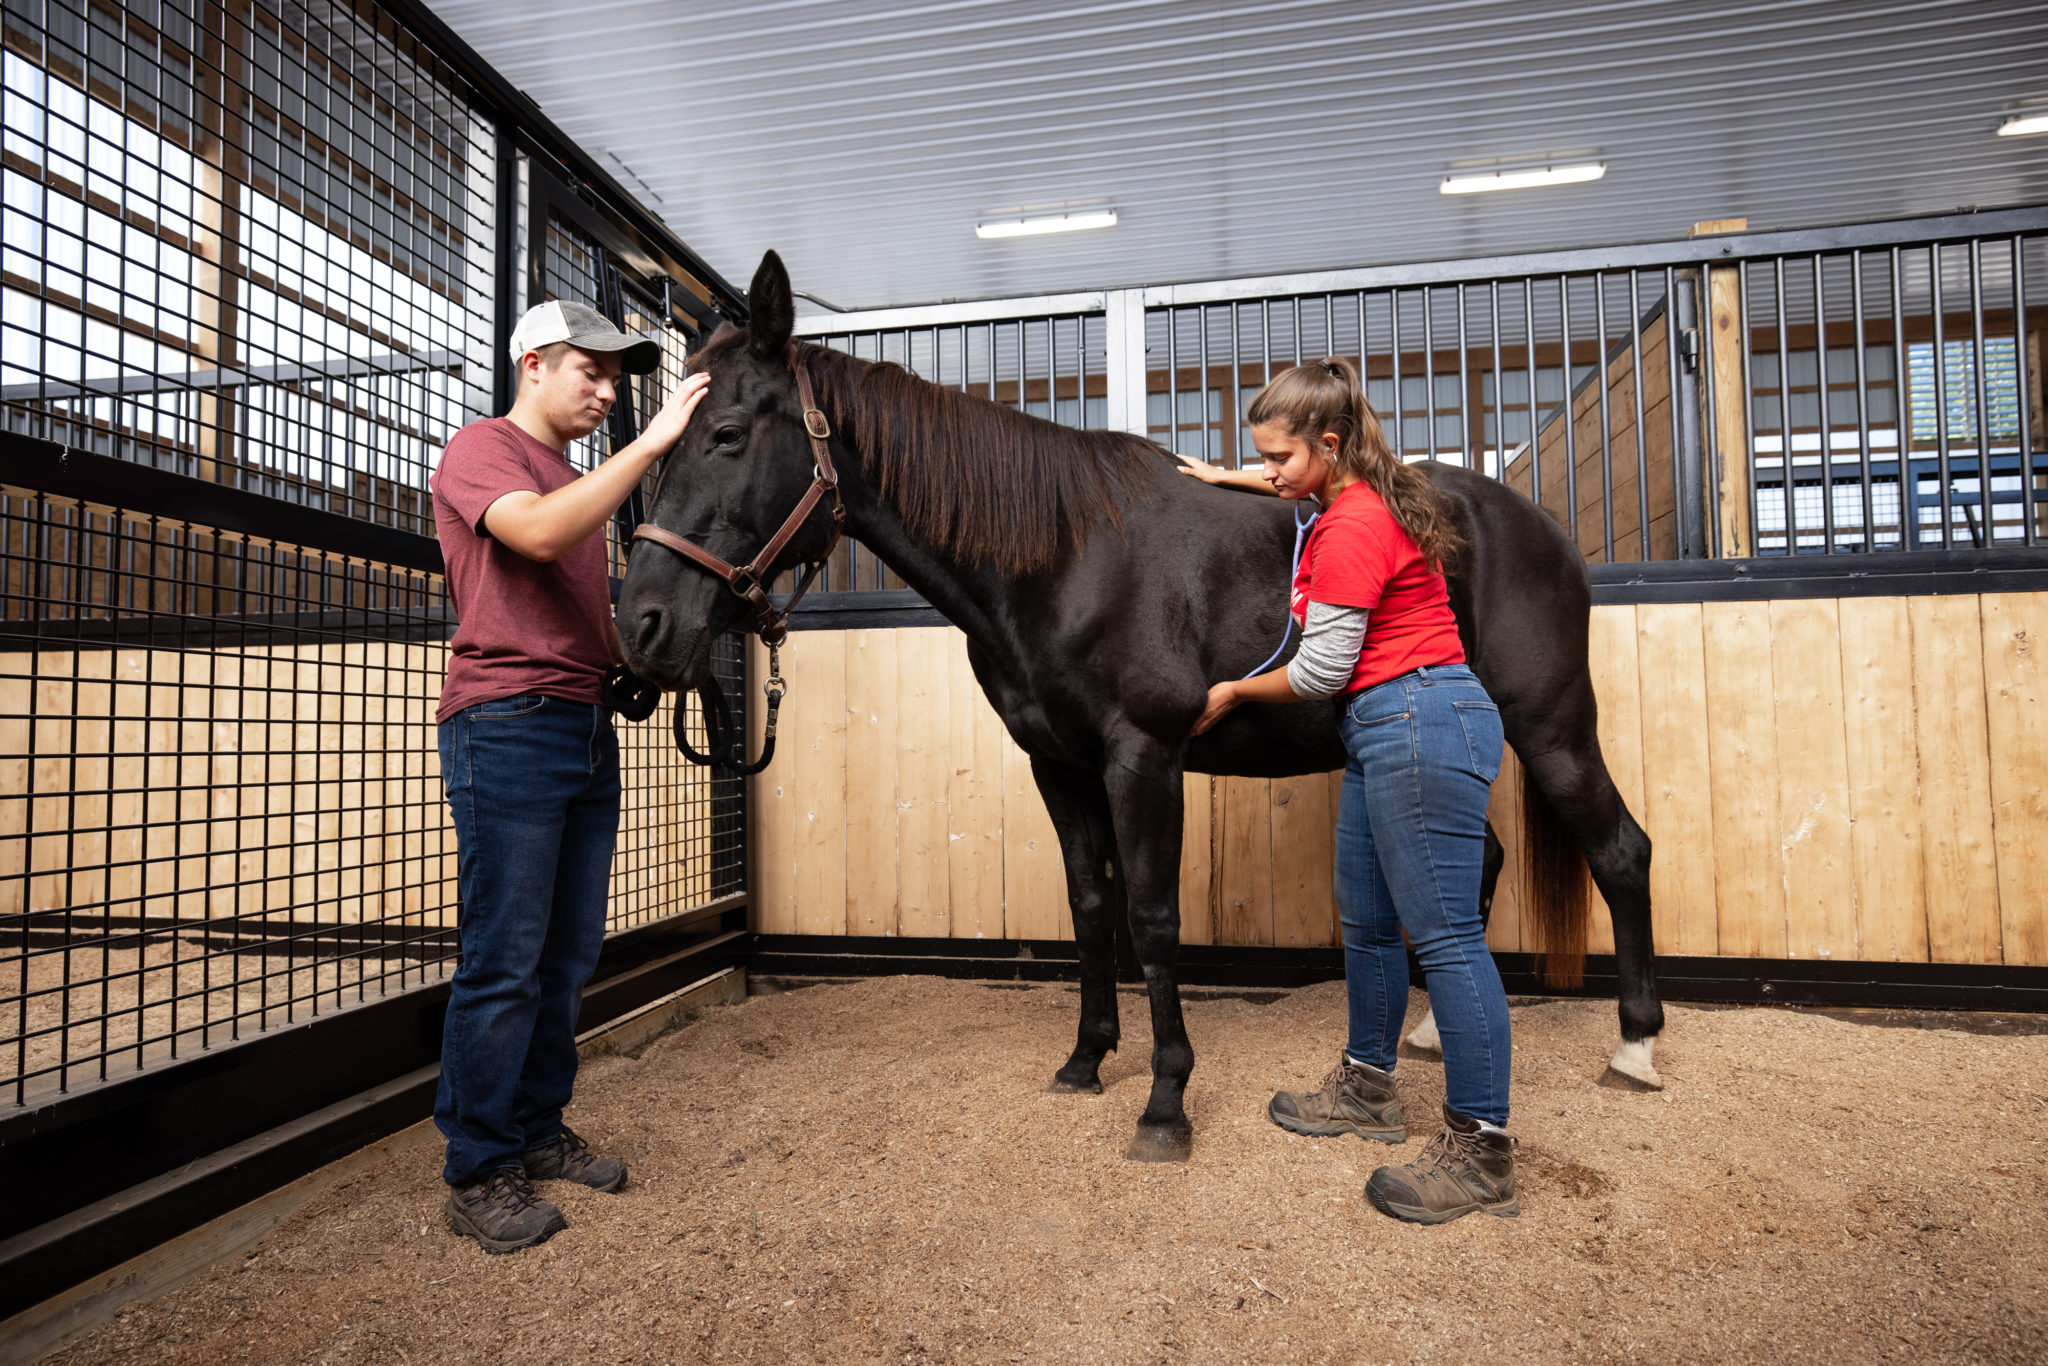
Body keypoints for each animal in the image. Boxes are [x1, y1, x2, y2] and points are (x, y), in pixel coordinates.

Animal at [617, 251, 1664, 1162]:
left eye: (727, 435)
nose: (643, 624)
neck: (1064, 557)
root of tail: (1540, 529)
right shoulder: (1061, 764)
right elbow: (1092, 907)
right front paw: (1087, 1059)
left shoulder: (1145, 756)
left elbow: (1154, 918)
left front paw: (1166, 1102)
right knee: (1476, 862)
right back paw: (1434, 1037)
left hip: (1552, 727)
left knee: (1620, 849)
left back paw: (1638, 1045)